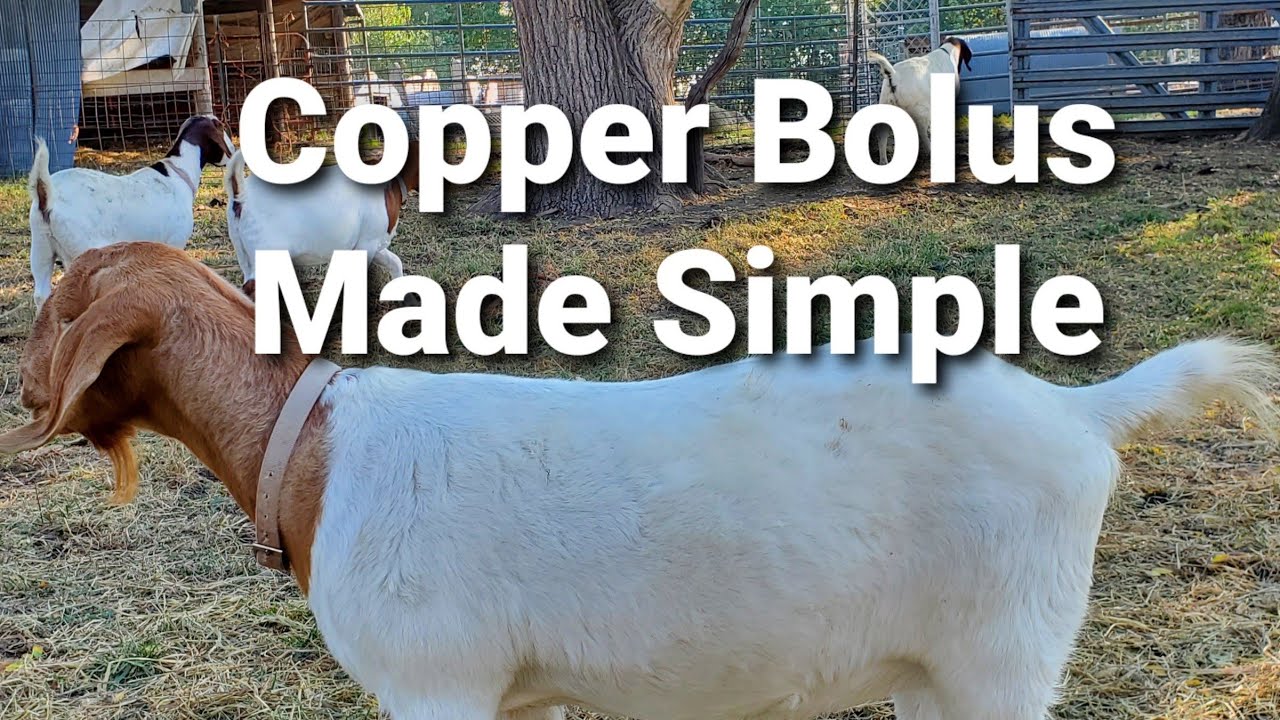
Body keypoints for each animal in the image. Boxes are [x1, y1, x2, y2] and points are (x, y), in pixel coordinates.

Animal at [2, 242, 1275, 720]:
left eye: (58, 307)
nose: (19, 392)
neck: (312, 450)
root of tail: (1076, 412)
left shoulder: (435, 683)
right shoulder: (522, 694)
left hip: (1002, 657)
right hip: (937, 670)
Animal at [27, 115, 235, 310]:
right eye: (222, 126)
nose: (234, 150)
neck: (177, 170)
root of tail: (48, 196)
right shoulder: (175, 241)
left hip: (41, 248)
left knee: (41, 294)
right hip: (80, 249)